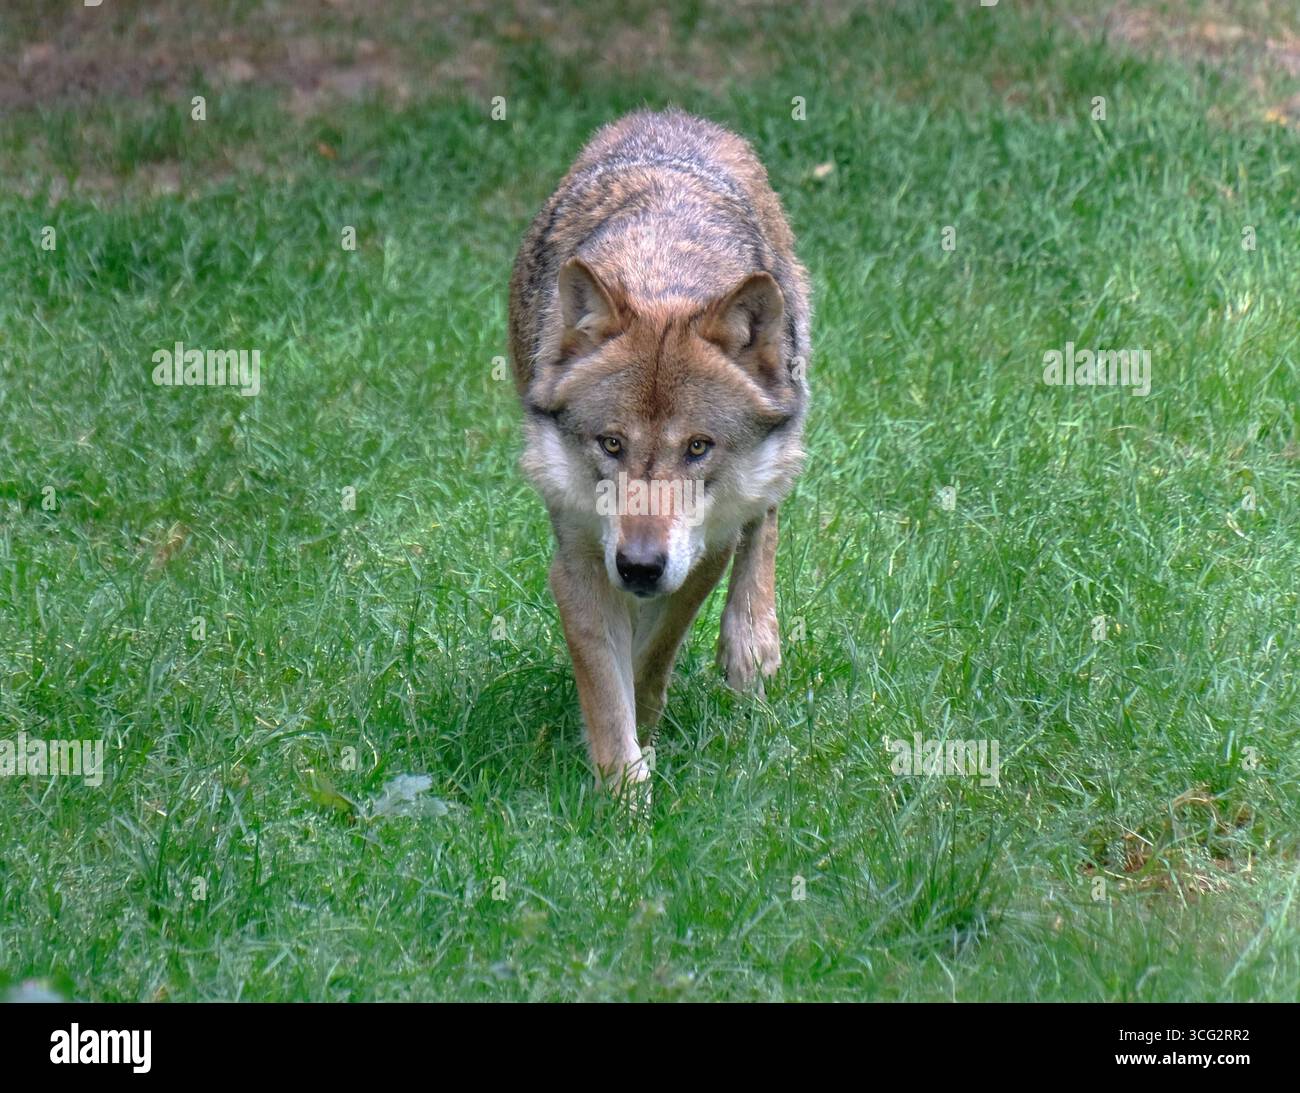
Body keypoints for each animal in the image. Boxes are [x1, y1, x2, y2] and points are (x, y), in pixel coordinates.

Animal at [508, 108, 810, 799]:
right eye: (611, 444)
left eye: (698, 447)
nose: (641, 567)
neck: (659, 267)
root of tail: (671, 116)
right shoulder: (578, 560)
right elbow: (606, 687)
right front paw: (624, 792)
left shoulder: (704, 554)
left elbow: (651, 659)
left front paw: (643, 742)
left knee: (767, 512)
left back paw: (752, 646)